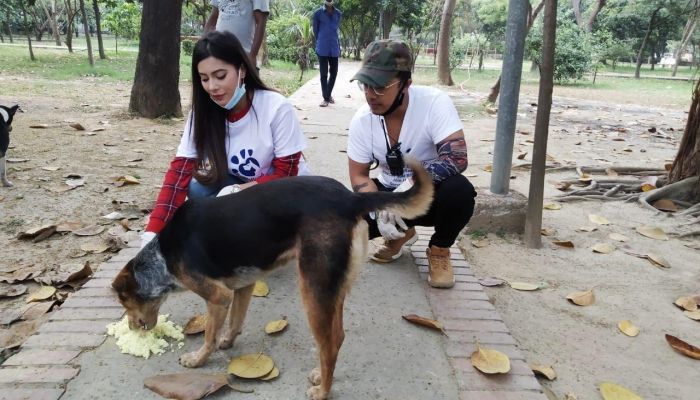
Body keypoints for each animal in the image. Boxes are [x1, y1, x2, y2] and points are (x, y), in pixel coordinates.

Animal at [112, 160, 432, 400]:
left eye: (124, 303)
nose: (132, 328)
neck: (163, 256)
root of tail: (350, 198)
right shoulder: (243, 285)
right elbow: (235, 322)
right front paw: (228, 341)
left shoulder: (217, 296)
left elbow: (209, 336)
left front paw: (198, 359)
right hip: (333, 287)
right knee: (337, 336)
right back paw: (320, 375)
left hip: (313, 288)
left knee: (328, 344)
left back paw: (323, 391)